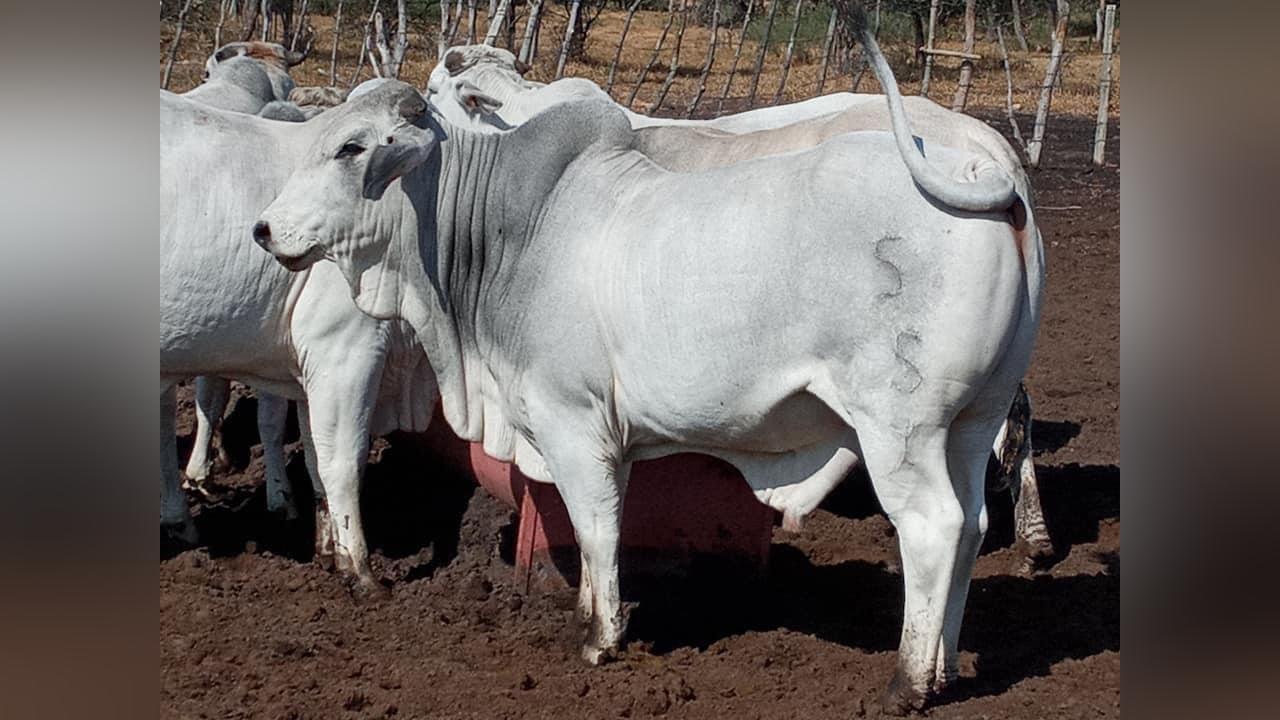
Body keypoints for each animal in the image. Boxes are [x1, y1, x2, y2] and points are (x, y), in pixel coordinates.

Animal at [160, 89, 438, 597]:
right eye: (352, 147)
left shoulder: (313, 372)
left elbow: (314, 459)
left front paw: (329, 552)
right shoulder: (345, 355)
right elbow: (342, 463)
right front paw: (362, 572)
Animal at [250, 18, 1043, 709]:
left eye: (352, 149)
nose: (264, 228)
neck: (513, 226)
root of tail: (984, 167)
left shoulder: (572, 421)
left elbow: (597, 525)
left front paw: (600, 639)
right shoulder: (609, 434)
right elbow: (603, 523)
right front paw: (591, 614)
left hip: (899, 429)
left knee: (934, 527)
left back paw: (908, 682)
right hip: (973, 419)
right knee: (973, 525)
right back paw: (944, 666)